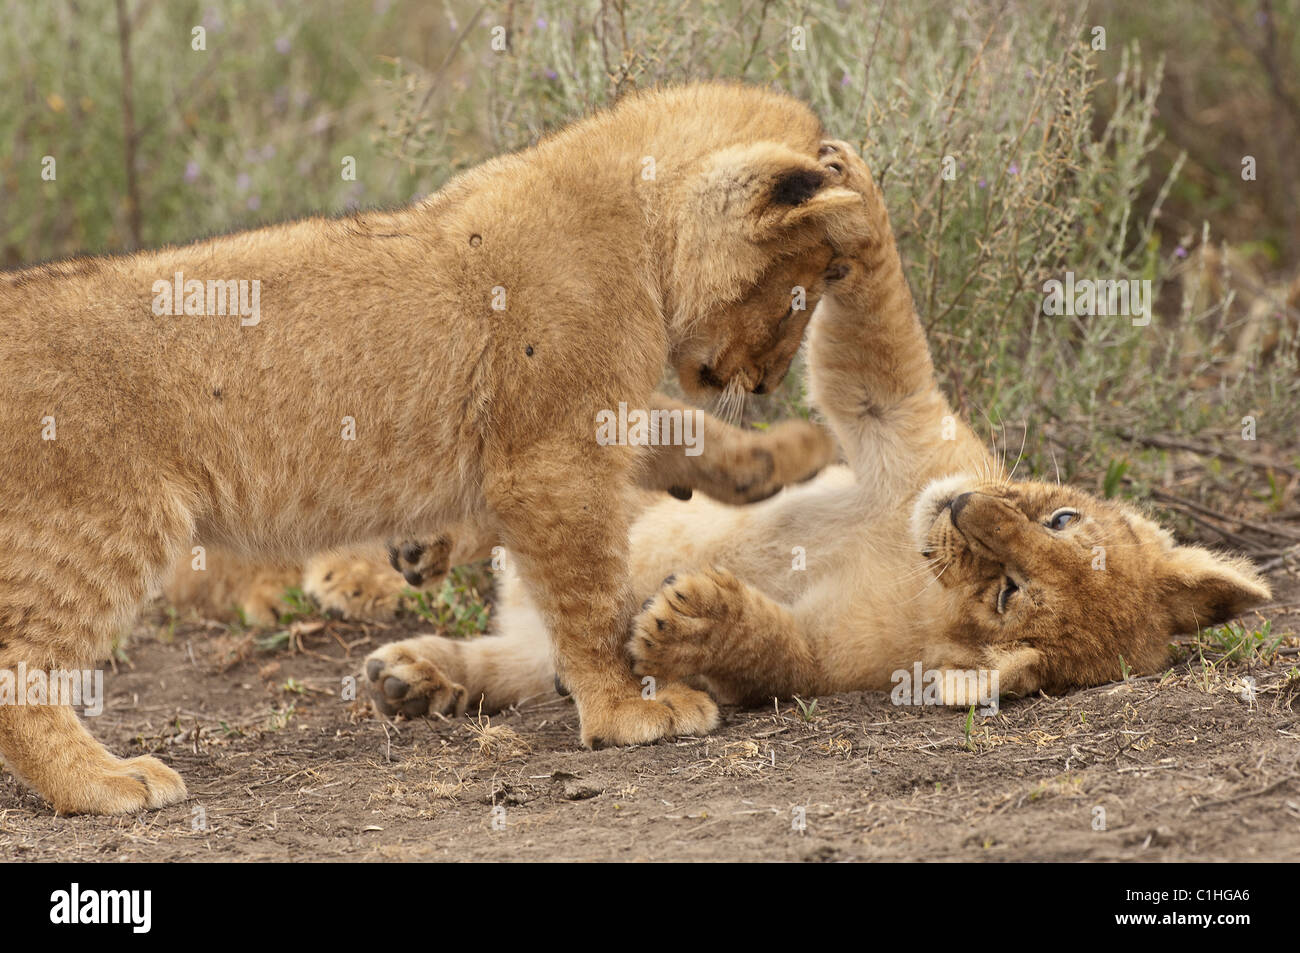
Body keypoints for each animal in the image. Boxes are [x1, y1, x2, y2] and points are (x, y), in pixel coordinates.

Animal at [0, 82, 867, 814]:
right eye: (805, 286)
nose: (770, 382)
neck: (639, 226)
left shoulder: (579, 420)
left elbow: (673, 425)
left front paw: (773, 458)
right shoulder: (549, 454)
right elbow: (588, 593)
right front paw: (627, 709)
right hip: (101, 523)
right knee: (19, 666)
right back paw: (106, 782)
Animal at [358, 140, 1272, 719]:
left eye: (1011, 593)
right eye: (1061, 517)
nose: (966, 510)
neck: (911, 553)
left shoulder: (845, 660)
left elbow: (780, 655)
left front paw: (695, 618)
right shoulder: (904, 425)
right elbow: (877, 341)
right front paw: (847, 193)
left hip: (545, 630)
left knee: (534, 638)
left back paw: (415, 676)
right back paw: (424, 556)